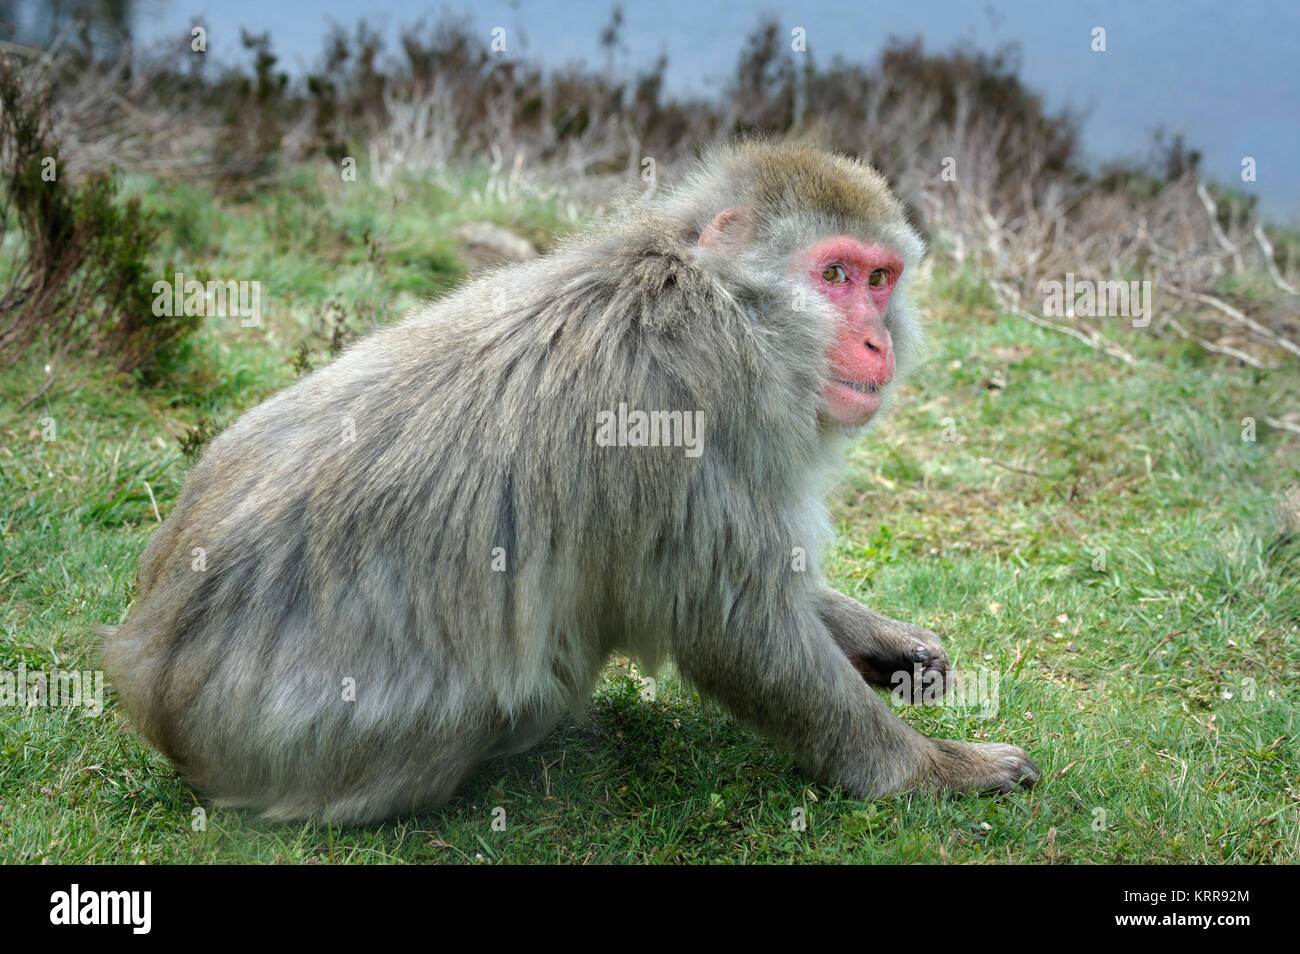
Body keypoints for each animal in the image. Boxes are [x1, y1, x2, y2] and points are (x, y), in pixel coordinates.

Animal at [102, 142, 1039, 824]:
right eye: (834, 275)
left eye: (882, 279)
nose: (877, 340)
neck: (725, 299)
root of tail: (150, 680)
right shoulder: (690, 402)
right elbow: (735, 625)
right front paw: (930, 768)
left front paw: (881, 639)